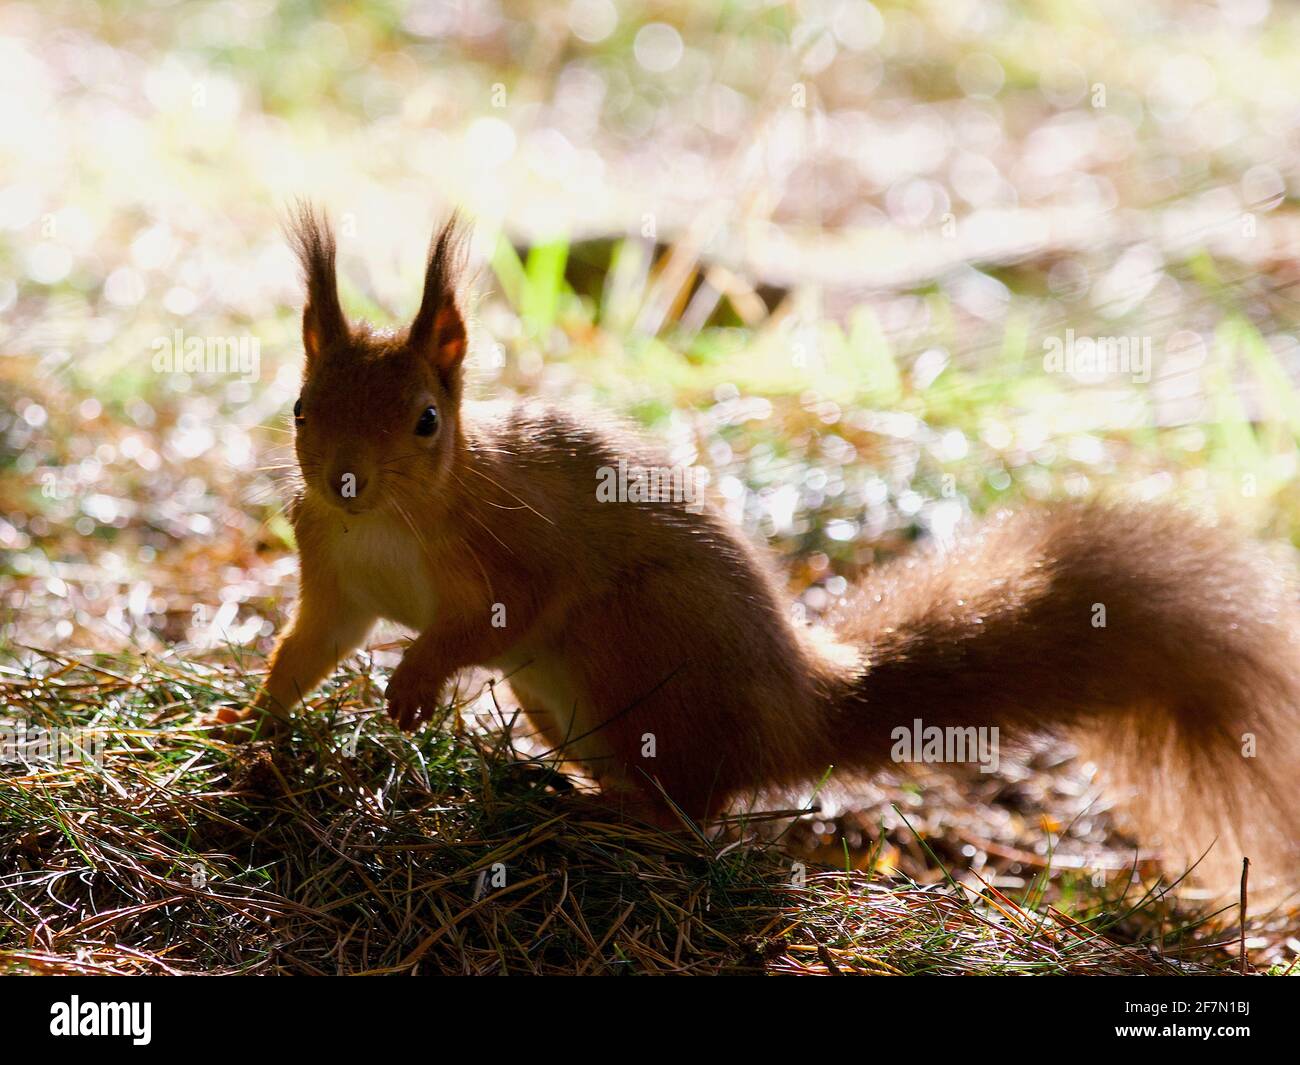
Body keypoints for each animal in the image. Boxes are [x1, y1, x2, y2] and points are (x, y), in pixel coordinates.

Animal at [255, 205, 1300, 891]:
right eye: (301, 406)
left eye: (426, 421)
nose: (343, 480)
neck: (385, 523)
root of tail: (800, 710)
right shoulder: (335, 577)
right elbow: (310, 643)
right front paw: (256, 721)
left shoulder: (515, 554)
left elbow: (489, 621)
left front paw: (414, 683)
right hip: (564, 699)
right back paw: (563, 781)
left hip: (634, 642)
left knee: (690, 815)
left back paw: (602, 809)